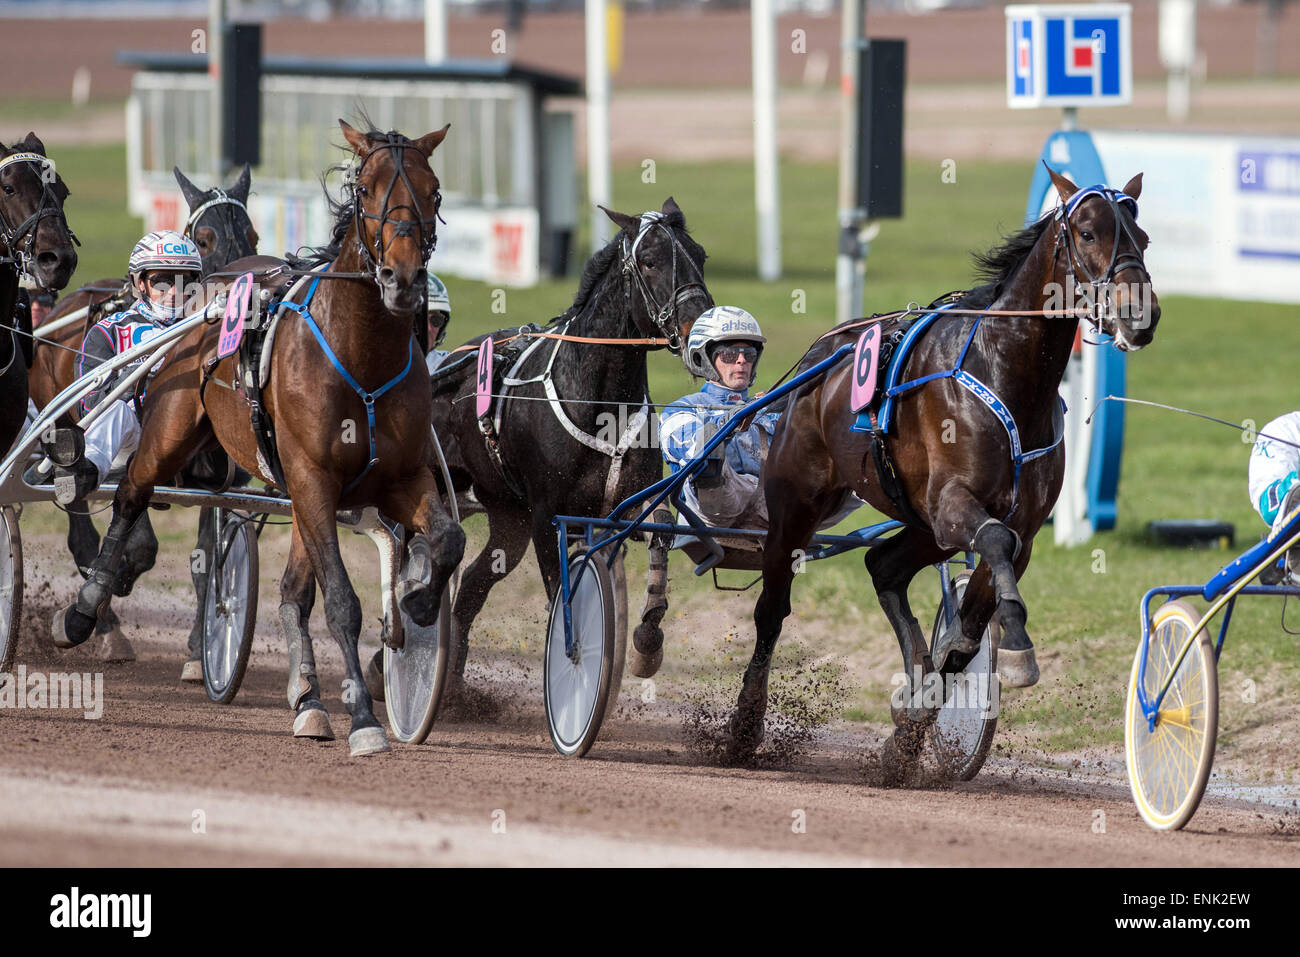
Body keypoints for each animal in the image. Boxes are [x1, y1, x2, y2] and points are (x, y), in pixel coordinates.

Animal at [27, 164, 258, 666]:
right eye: (206, 238)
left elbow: (205, 556)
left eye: (250, 233)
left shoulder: (212, 481)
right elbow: (141, 542)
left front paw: (198, 648)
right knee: (80, 519)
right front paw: (114, 580)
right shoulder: (145, 458)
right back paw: (107, 623)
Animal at [54, 120, 464, 756]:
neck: (360, 355)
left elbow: (447, 541)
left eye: (434, 189)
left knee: (293, 588)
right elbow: (341, 602)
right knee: (128, 499)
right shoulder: (314, 480)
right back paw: (86, 609)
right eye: (364, 189)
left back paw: (310, 700)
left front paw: (416, 599)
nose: (402, 279)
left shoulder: (399, 477)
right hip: (169, 430)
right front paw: (365, 721)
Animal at [414, 197, 711, 710]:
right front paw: (571, 663)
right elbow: (561, 594)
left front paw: (646, 644)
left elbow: (659, 541)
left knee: (471, 586)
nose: (700, 333)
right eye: (649, 261)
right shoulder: (546, 516)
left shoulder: (626, 506)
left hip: (507, 518)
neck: (599, 399)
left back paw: (451, 686)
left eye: (701, 256)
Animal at [727, 169, 1161, 768]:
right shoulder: (956, 502)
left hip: (922, 526)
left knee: (884, 567)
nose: (1141, 314)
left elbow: (970, 630)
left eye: (1142, 239)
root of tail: (821, 357)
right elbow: (994, 545)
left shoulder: (1019, 528)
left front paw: (912, 725)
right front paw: (1017, 648)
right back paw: (743, 727)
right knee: (772, 609)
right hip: (797, 505)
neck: (1005, 374)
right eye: (1089, 233)